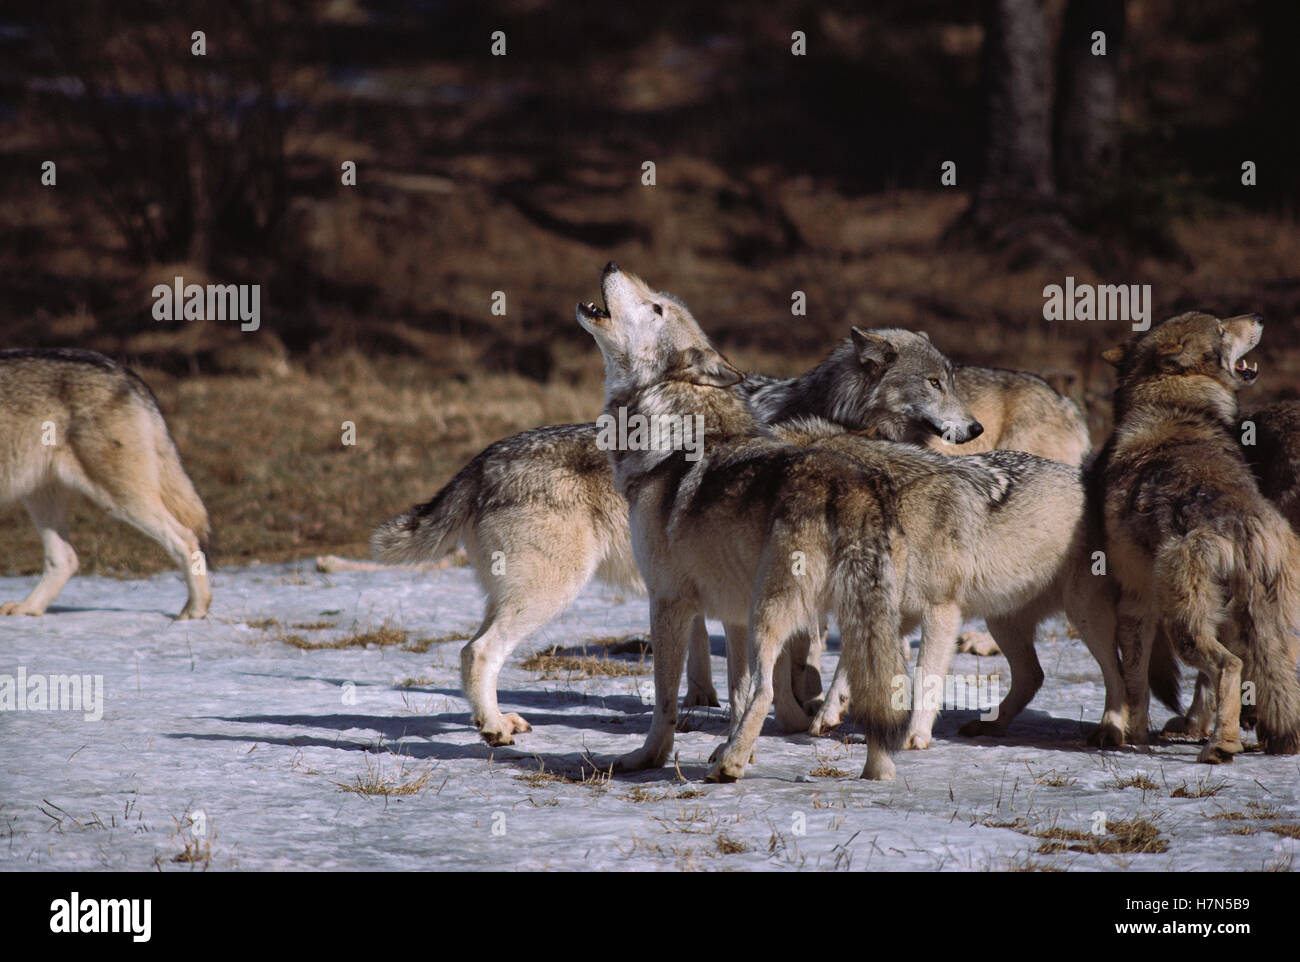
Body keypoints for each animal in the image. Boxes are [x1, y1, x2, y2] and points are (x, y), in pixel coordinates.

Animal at [0, 349, 212, 619]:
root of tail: (126, 374)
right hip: (41, 496)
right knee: (66, 558)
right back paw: (28, 608)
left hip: (120, 499)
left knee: (186, 538)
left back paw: (195, 610)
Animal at [576, 262, 910, 781]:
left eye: (656, 307)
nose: (611, 265)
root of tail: (853, 490)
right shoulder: (730, 615)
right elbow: (735, 694)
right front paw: (731, 746)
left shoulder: (667, 601)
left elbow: (667, 702)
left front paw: (648, 759)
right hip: (852, 622)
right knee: (873, 698)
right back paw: (875, 776)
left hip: (769, 614)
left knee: (770, 691)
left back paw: (729, 767)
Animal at [1100, 312, 1300, 762]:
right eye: (1222, 327)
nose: (1259, 317)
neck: (1173, 407)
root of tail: (1244, 523)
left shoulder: (1135, 606)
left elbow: (1135, 683)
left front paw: (1133, 736)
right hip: (1270, 623)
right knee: (1275, 673)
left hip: (1185, 628)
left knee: (1229, 666)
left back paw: (1221, 746)